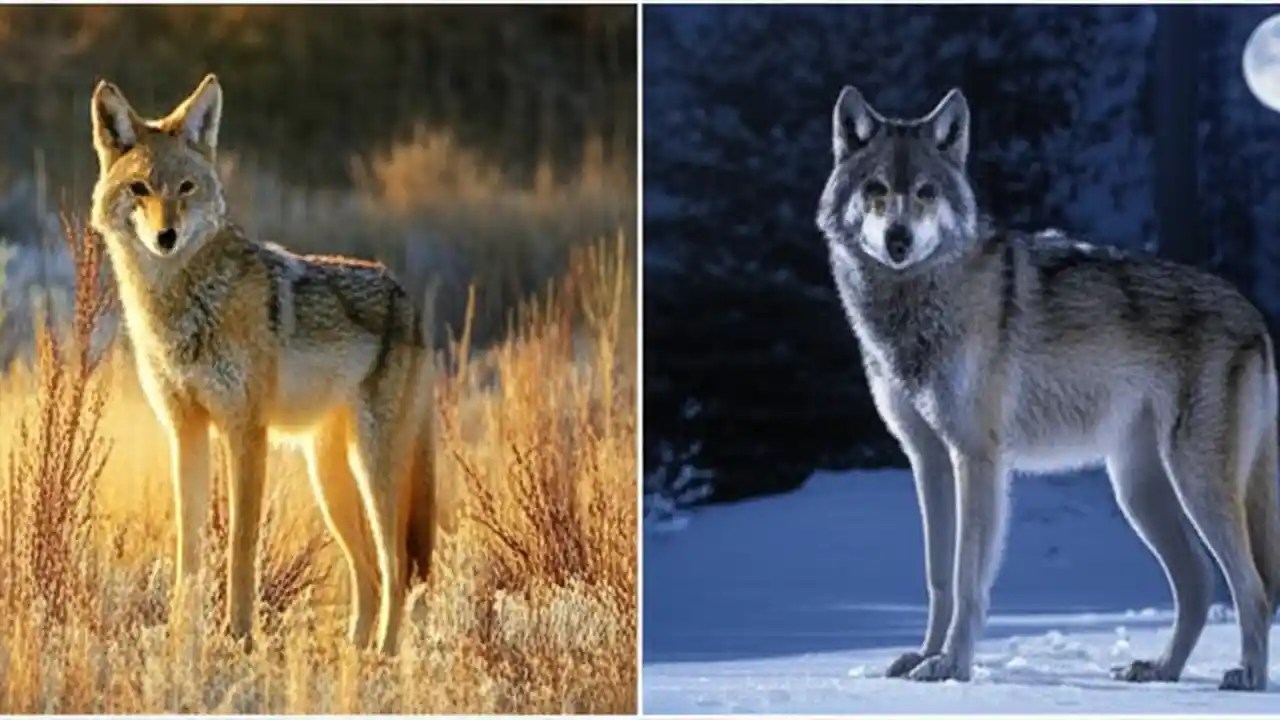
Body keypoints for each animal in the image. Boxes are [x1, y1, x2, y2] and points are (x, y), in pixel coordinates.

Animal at [90, 74, 436, 654]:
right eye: (140, 190)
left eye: (186, 188)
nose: (166, 238)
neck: (181, 305)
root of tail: (408, 297)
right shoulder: (185, 430)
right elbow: (189, 546)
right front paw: (182, 636)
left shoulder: (245, 431)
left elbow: (241, 544)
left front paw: (239, 637)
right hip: (329, 478)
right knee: (367, 569)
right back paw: (355, 655)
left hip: (376, 468)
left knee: (398, 566)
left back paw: (388, 656)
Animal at [816, 86, 1280, 691]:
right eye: (875, 190)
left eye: (924, 192)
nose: (898, 240)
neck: (915, 302)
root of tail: (1256, 315)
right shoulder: (929, 461)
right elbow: (938, 576)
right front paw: (923, 657)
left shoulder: (977, 459)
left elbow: (967, 579)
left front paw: (953, 666)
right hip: (1138, 489)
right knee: (1199, 583)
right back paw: (1160, 670)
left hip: (1197, 482)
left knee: (1252, 586)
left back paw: (1247, 675)